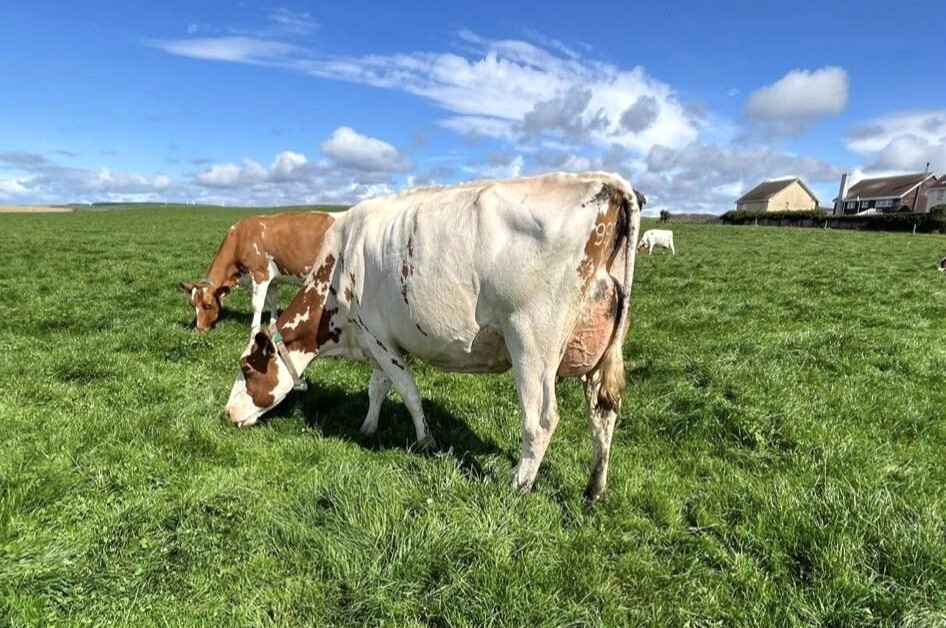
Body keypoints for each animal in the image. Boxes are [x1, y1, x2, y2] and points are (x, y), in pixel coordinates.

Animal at [180, 212, 335, 334]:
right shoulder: (272, 280)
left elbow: (257, 305)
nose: (199, 330)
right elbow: (273, 301)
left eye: (208, 304)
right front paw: (273, 324)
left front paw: (254, 332)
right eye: (192, 305)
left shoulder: (261, 275)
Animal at [224, 172, 643, 500]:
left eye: (247, 369)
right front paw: (368, 428)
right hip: (600, 347)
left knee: (540, 419)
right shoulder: (378, 339)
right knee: (603, 413)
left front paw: (426, 441)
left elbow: (408, 393)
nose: (227, 413)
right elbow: (378, 388)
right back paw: (594, 489)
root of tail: (606, 181)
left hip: (531, 341)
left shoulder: (378, 337)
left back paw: (518, 485)